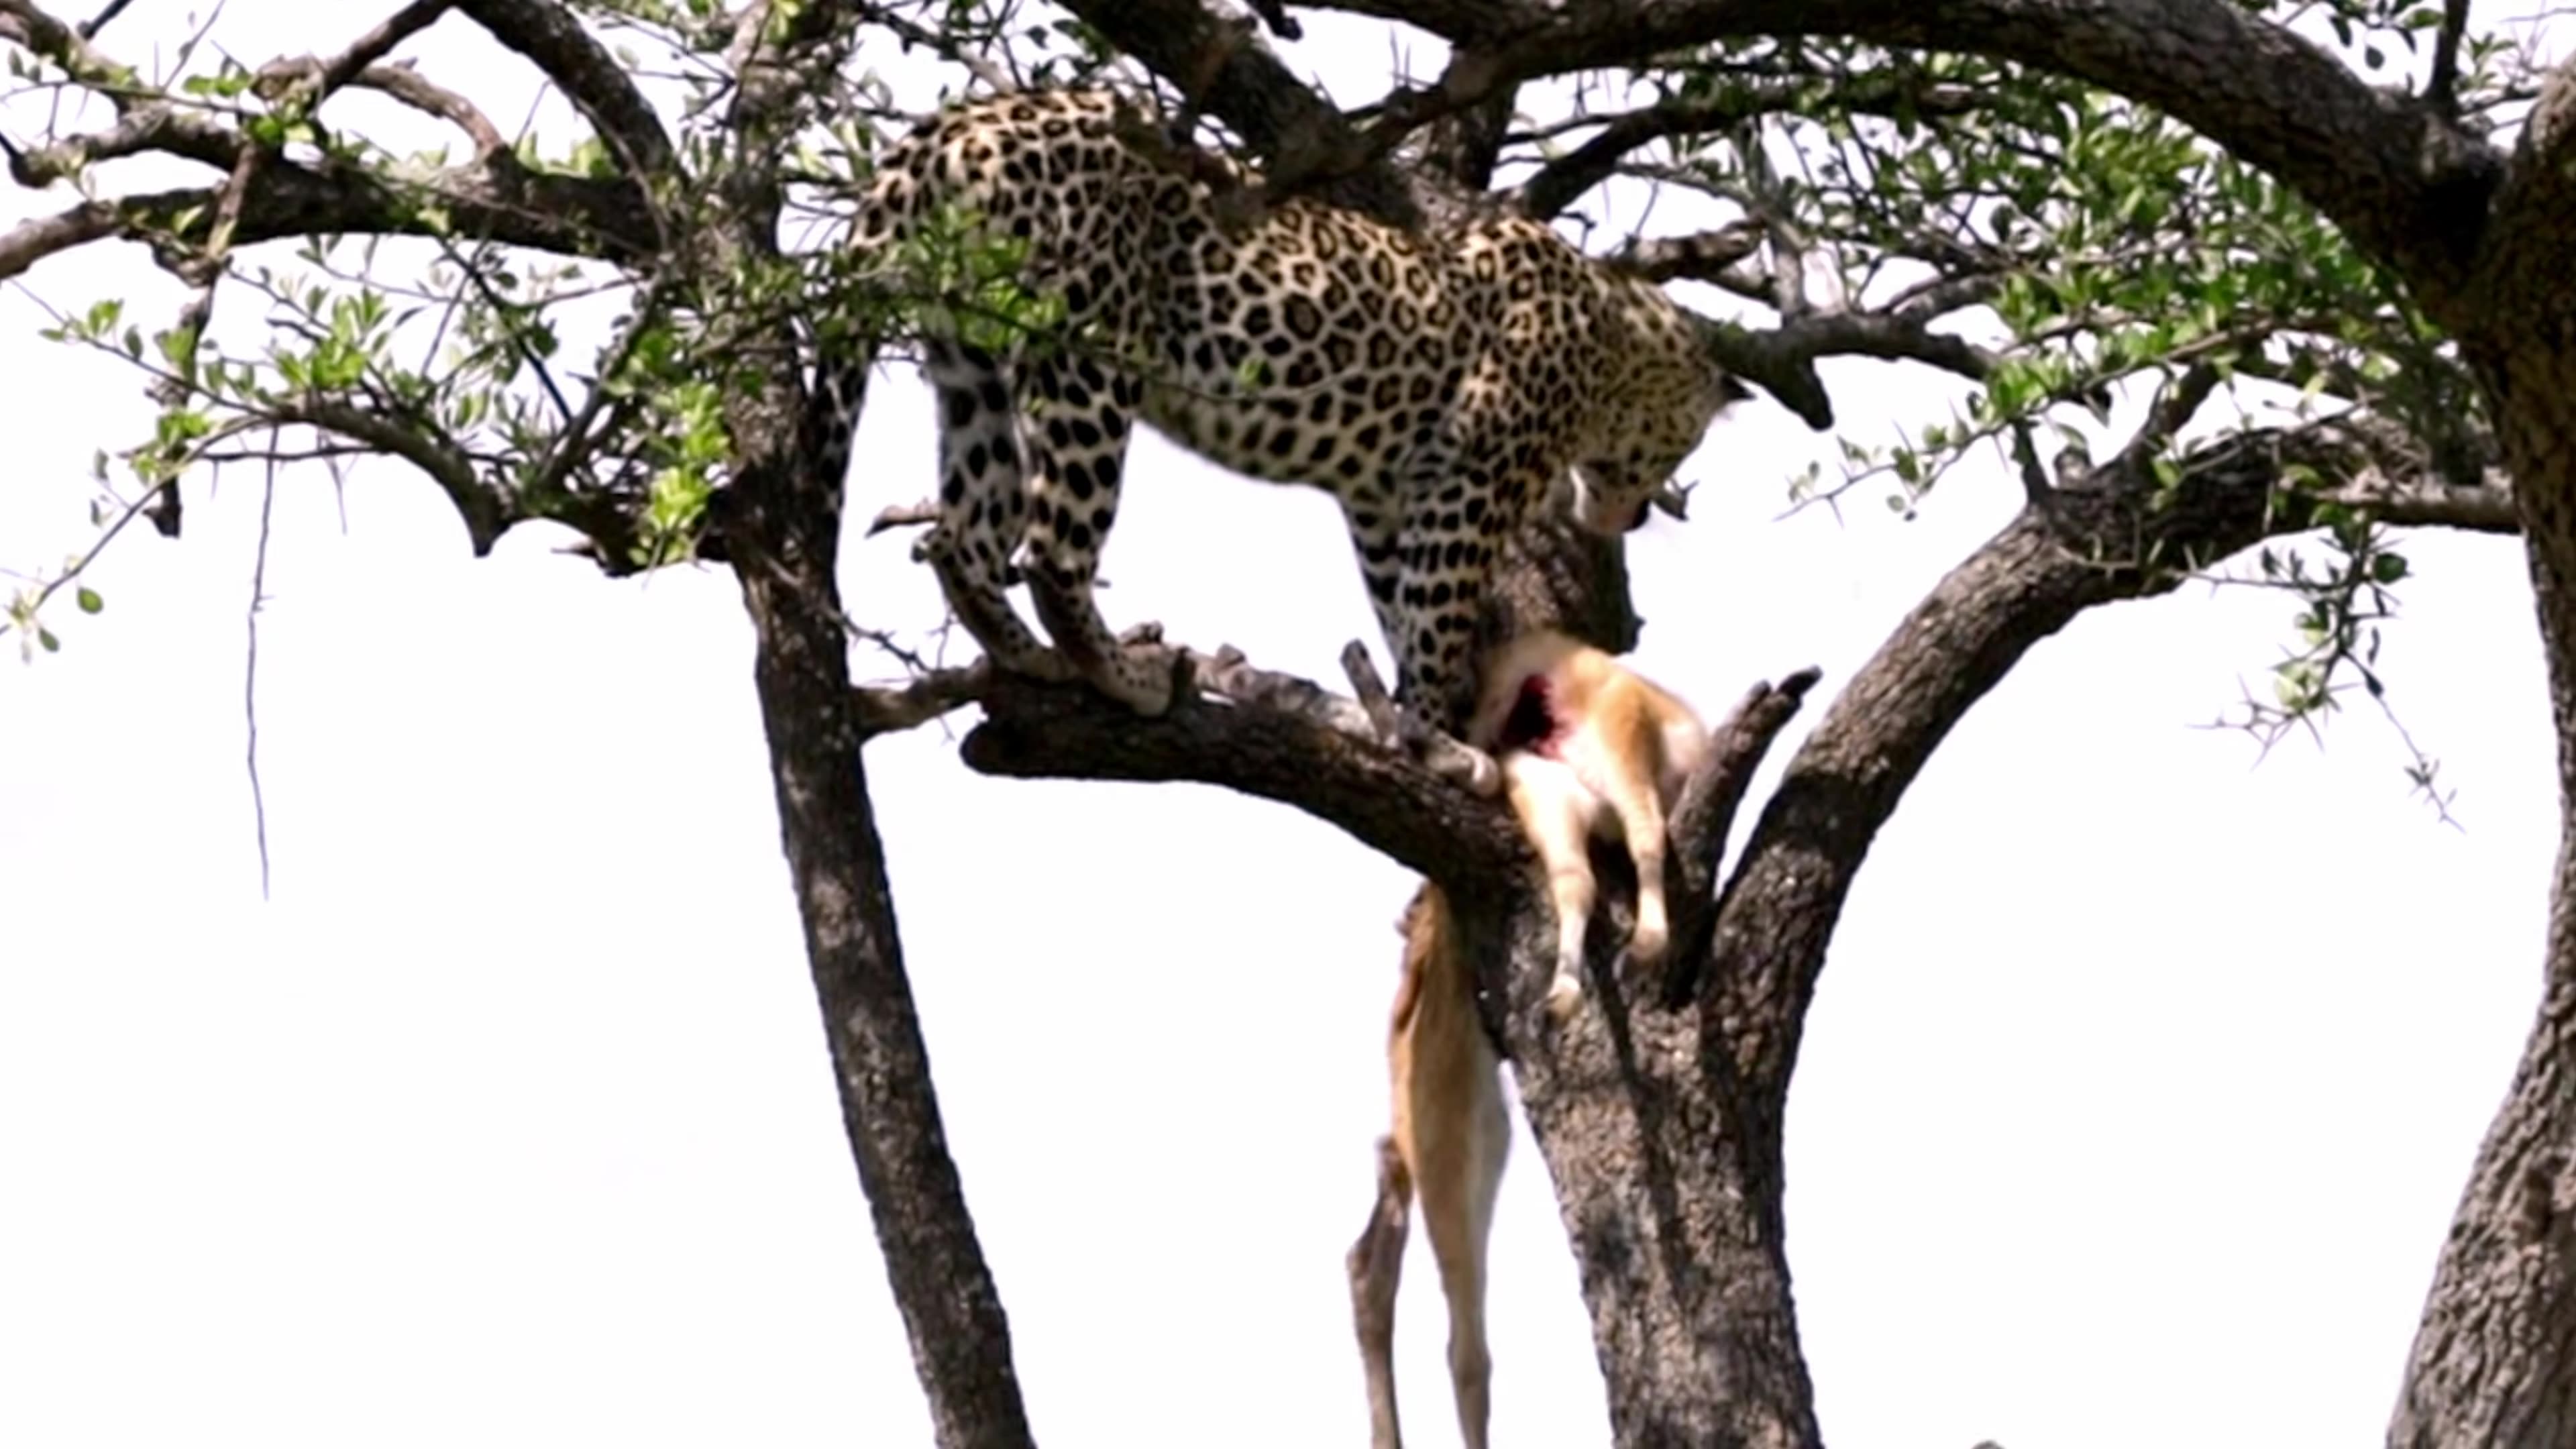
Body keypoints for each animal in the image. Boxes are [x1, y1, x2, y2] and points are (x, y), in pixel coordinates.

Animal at [811, 88, 1753, 748]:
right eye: (1680, 447)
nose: (1634, 514)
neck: (1610, 344)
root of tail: (958, 120)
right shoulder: (1472, 483)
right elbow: (1440, 612)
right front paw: (1442, 734)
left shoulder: (1387, 498)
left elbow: (1403, 604)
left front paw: (1412, 713)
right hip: (1085, 361)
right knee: (1052, 551)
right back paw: (1122, 674)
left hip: (967, 357)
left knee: (964, 537)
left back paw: (1027, 656)